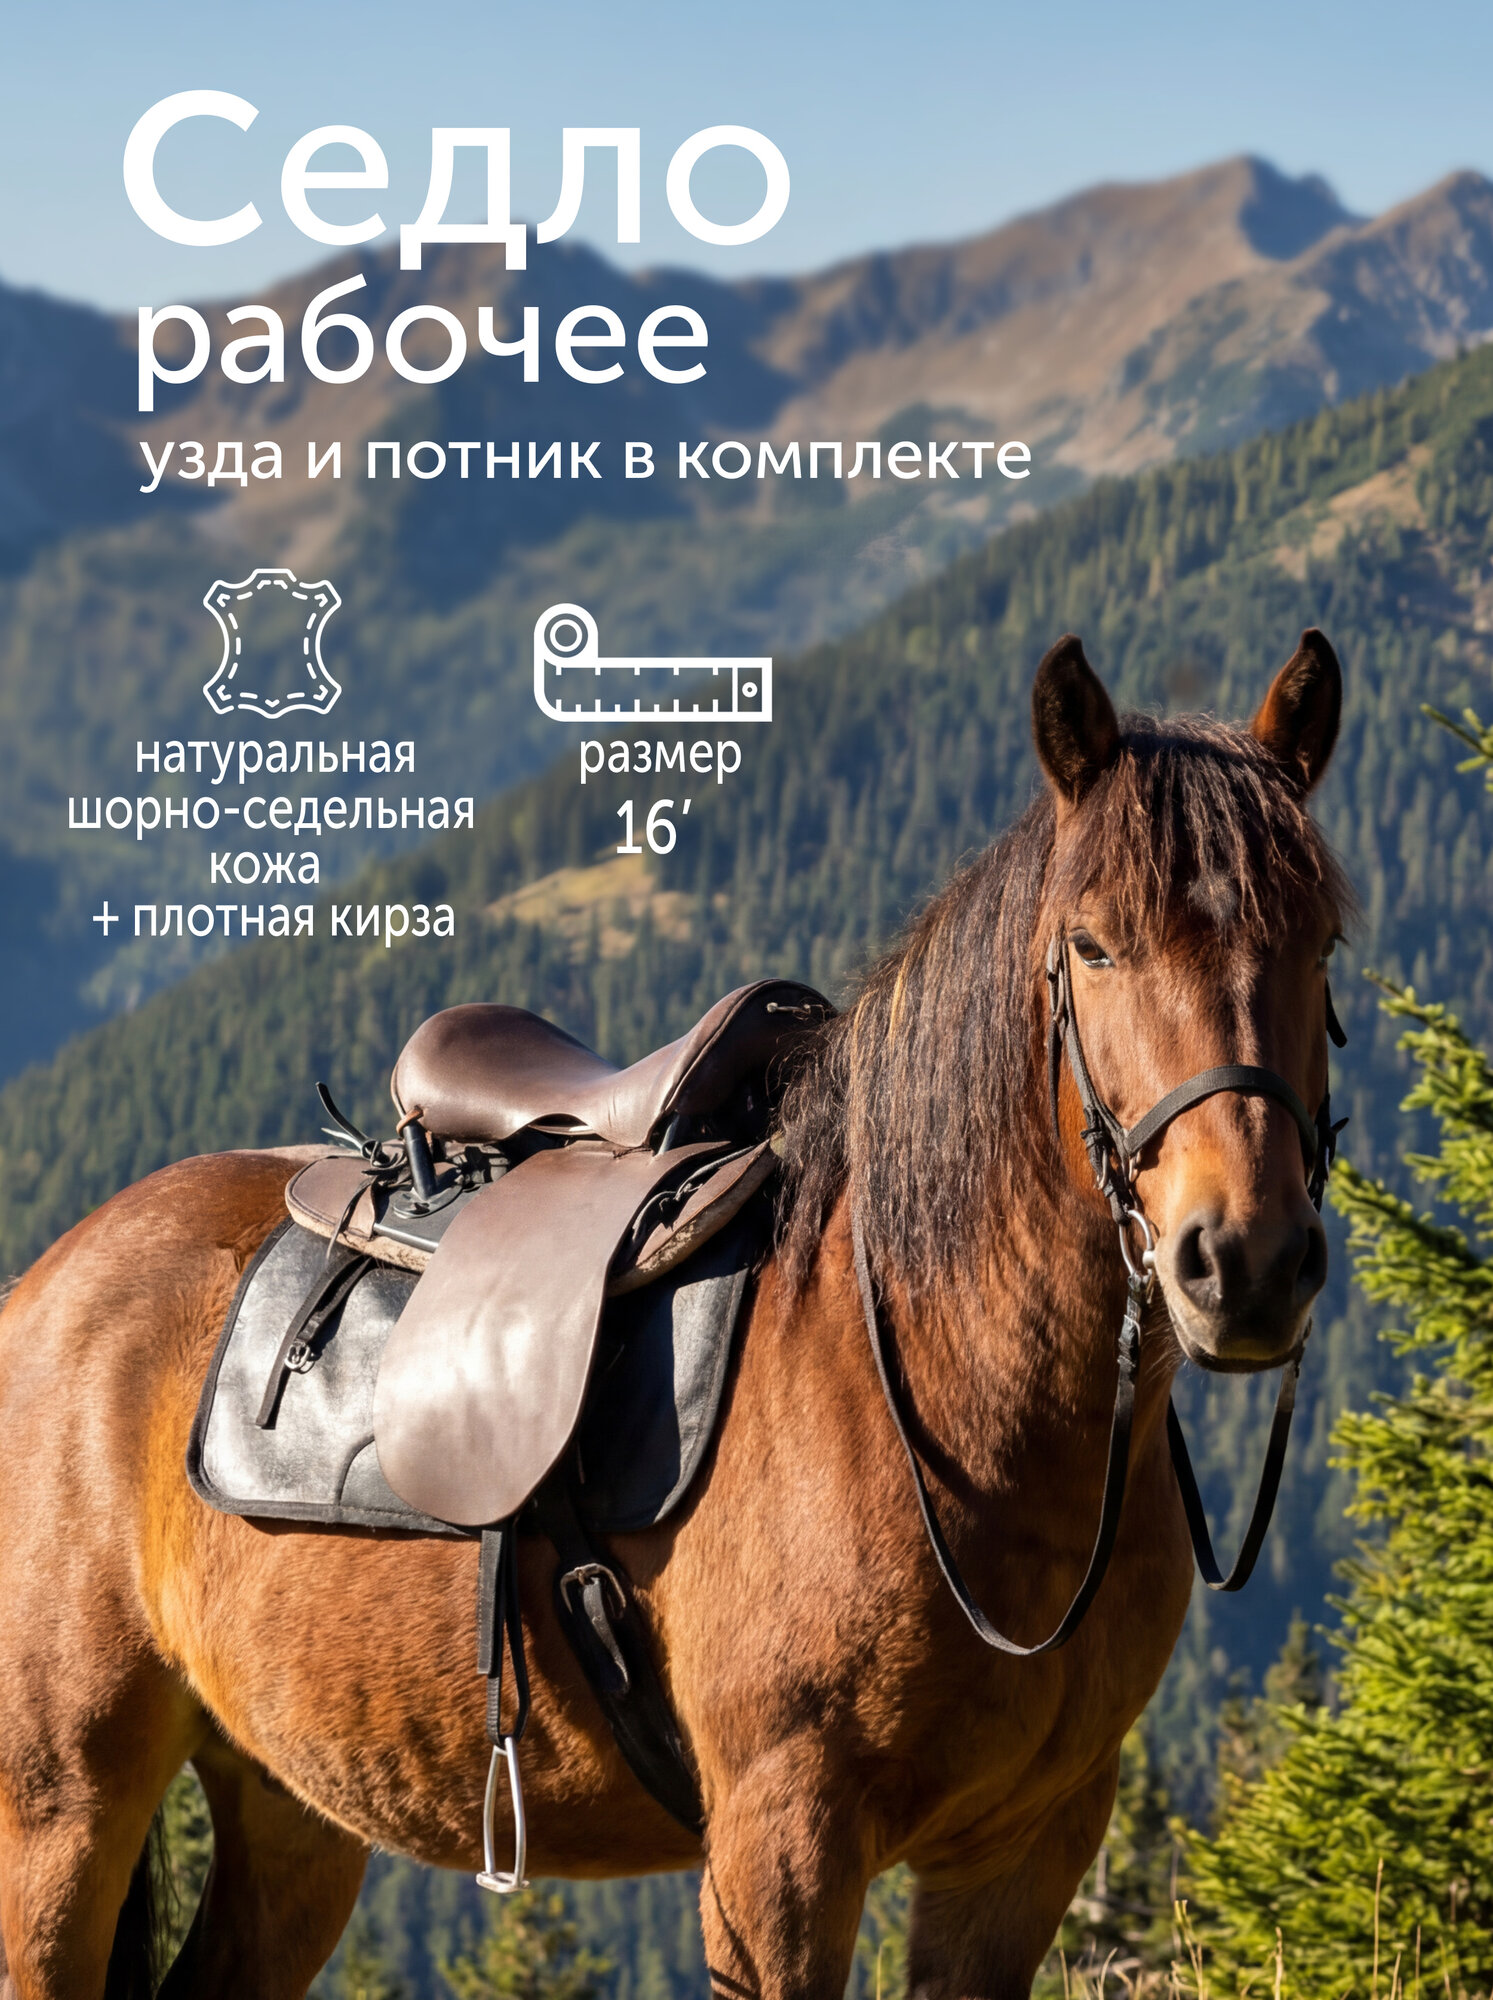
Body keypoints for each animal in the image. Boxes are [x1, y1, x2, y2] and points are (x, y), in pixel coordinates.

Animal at [0, 629, 1350, 1999]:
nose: (1242, 1259)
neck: (950, 1394)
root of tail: (47, 1283)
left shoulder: (1024, 1849)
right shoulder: (782, 1846)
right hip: (59, 1813)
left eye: (1321, 943)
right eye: (1092, 946)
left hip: (293, 1805)